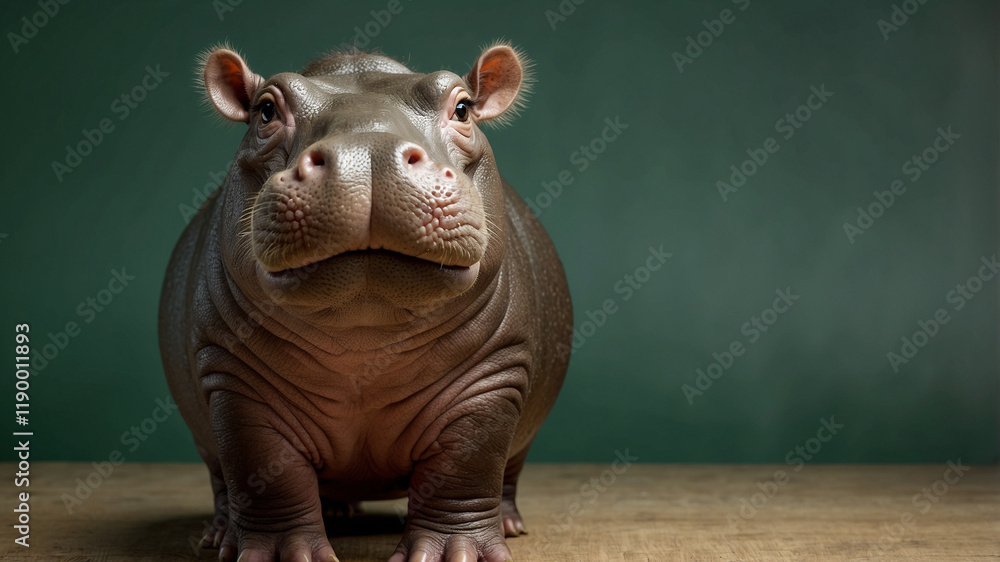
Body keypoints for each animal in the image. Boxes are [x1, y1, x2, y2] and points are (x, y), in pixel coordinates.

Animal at [158, 41, 572, 562]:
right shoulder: (231, 376)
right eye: (266, 110)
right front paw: (283, 554)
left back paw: (511, 523)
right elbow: (265, 470)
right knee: (222, 478)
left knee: (506, 474)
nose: (367, 151)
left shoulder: (495, 374)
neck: (364, 339)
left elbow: (466, 466)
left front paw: (454, 553)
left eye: (462, 107)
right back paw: (228, 532)